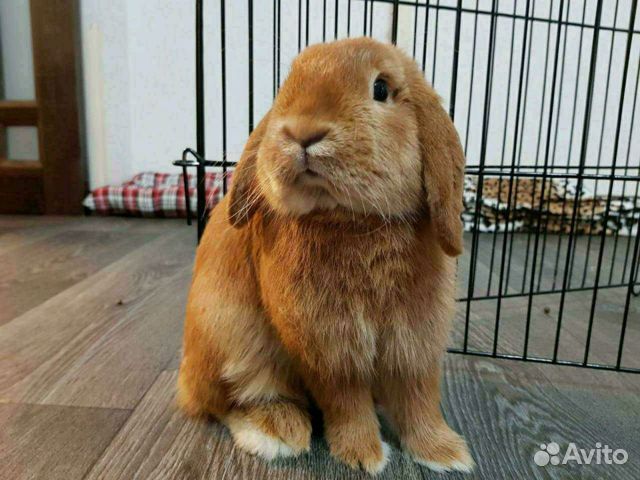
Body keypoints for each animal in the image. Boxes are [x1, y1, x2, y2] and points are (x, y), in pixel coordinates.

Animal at [177, 37, 473, 475]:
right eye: (286, 88)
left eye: (381, 88)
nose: (302, 132)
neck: (351, 220)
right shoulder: (327, 346)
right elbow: (345, 400)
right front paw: (365, 455)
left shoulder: (415, 340)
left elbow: (419, 395)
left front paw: (445, 453)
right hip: (229, 335)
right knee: (226, 401)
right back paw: (277, 431)